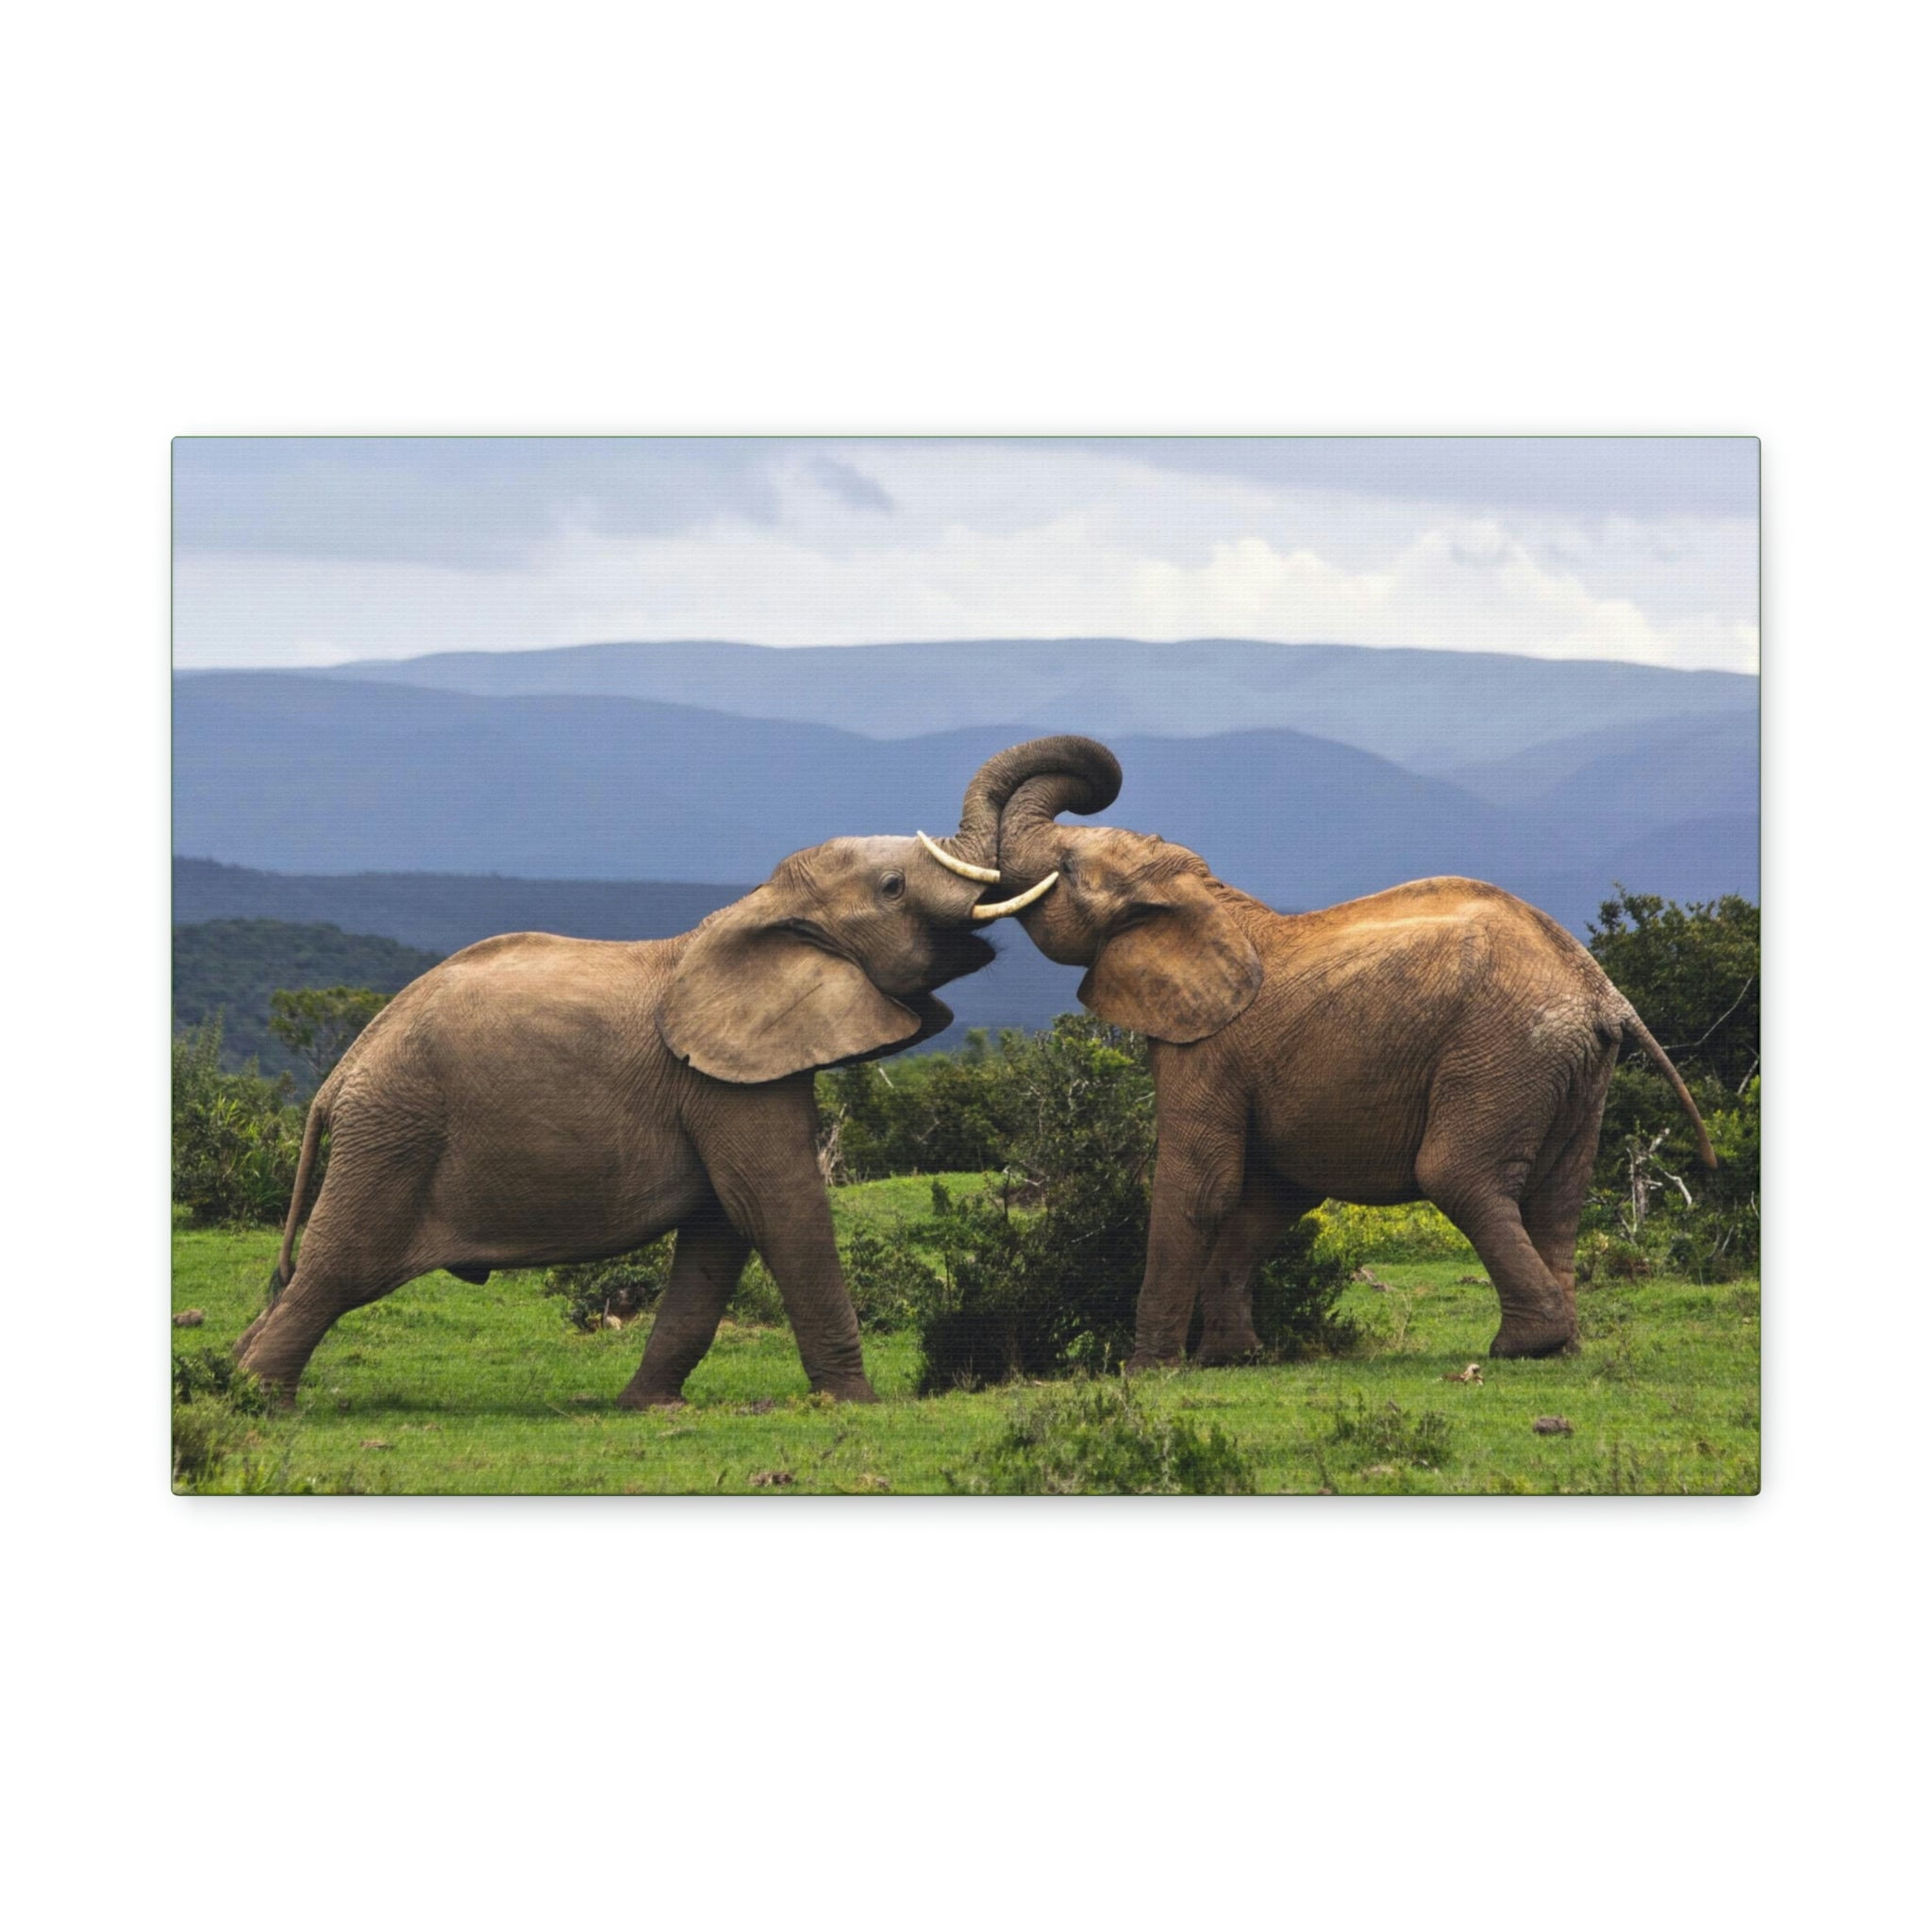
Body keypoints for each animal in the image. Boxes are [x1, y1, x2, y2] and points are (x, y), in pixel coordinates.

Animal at [234, 747, 1069, 1407]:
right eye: (893, 887)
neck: (752, 909)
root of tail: (337, 1079)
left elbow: (720, 1234)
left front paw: (646, 1407)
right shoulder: (725, 1081)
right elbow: (778, 1207)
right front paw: (857, 1405)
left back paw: (231, 1384)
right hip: (396, 1133)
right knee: (336, 1272)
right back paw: (259, 1403)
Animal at [975, 735, 1716, 1363]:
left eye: (1067, 869)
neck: (1207, 896)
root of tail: (1602, 991)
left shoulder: (1207, 1048)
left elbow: (1202, 1187)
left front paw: (1147, 1371)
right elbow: (1269, 1199)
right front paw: (1232, 1360)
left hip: (1502, 1052)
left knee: (1460, 1176)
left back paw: (1520, 1347)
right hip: (1574, 1070)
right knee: (1559, 1199)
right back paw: (1561, 1348)